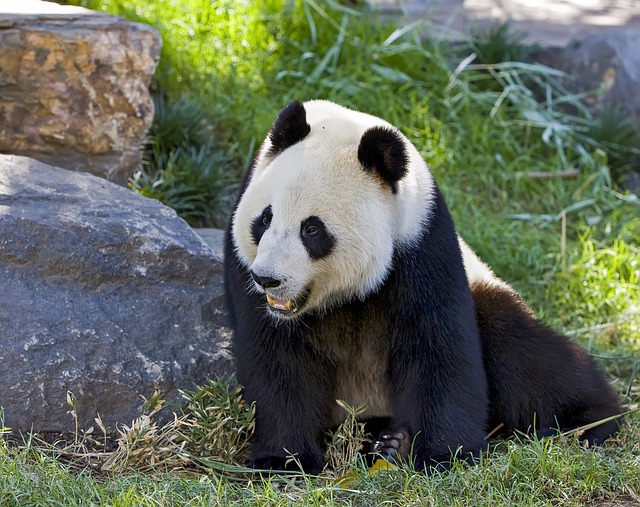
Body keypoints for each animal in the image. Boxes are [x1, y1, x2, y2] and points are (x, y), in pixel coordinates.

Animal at [224, 99, 622, 474]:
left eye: (312, 229)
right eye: (265, 219)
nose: (267, 278)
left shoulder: (421, 243)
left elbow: (438, 347)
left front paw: (445, 454)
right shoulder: (244, 267)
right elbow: (277, 362)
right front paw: (284, 459)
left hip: (486, 292)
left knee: (523, 355)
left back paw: (587, 420)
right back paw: (386, 442)